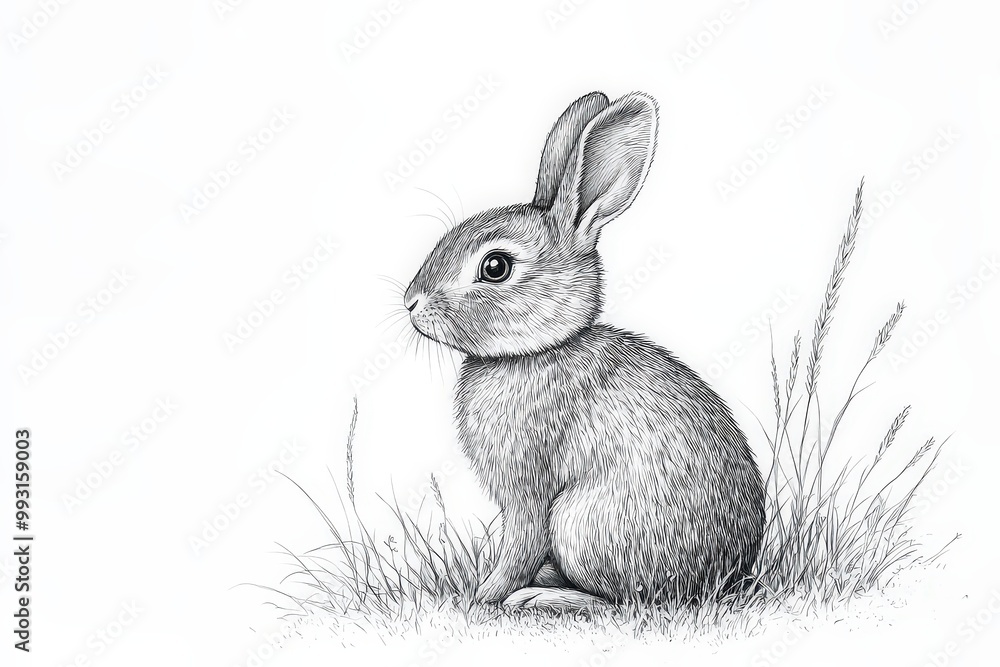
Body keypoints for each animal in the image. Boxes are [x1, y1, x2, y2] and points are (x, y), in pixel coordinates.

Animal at [403, 91, 765, 609]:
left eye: (495, 267)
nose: (411, 302)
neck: (537, 351)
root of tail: (723, 576)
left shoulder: (529, 493)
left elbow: (519, 545)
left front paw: (481, 597)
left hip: (580, 521)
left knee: (630, 601)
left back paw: (541, 598)